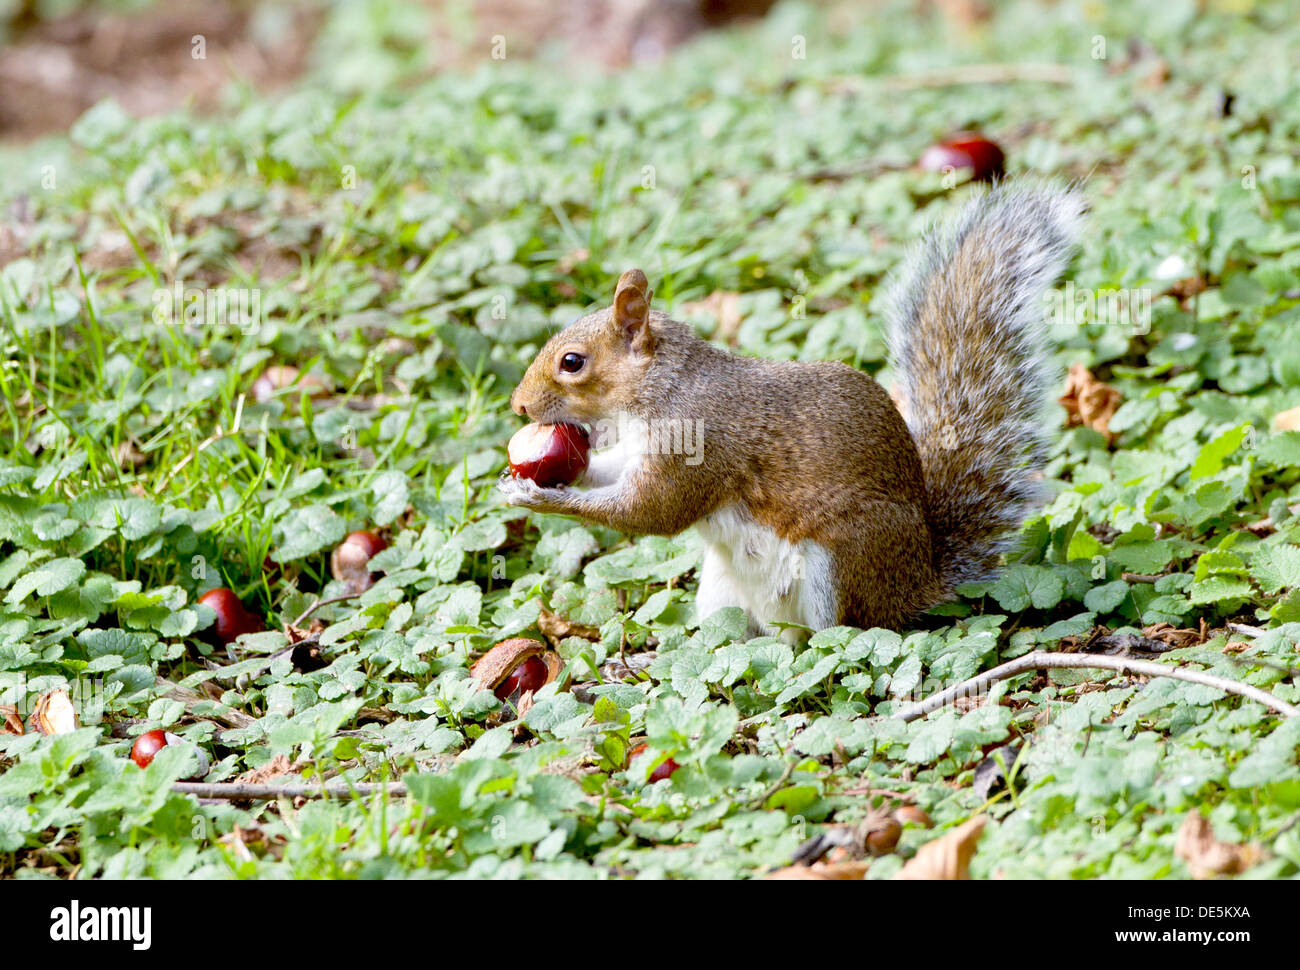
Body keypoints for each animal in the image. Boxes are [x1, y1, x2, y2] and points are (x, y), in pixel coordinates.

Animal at [500, 184, 1086, 639]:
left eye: (572, 362)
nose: (519, 404)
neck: (660, 389)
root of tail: (920, 581)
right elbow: (614, 472)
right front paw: (525, 479)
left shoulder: (697, 444)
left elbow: (651, 513)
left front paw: (543, 499)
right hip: (723, 593)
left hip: (844, 560)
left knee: (845, 636)